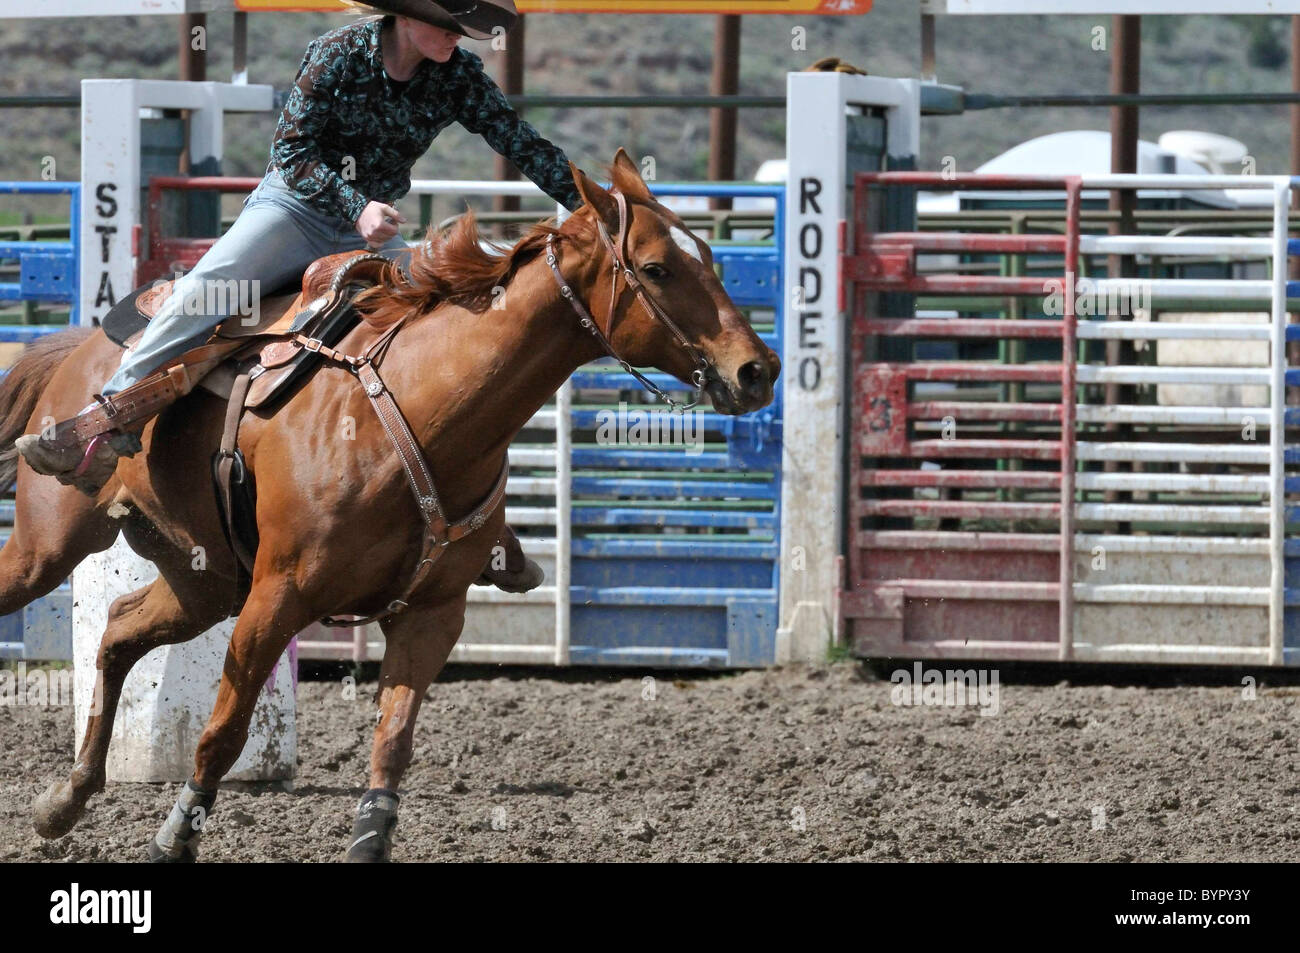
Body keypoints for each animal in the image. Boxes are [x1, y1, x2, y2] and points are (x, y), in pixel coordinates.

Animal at [0, 150, 780, 861]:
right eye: (657, 267)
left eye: (709, 255)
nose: (758, 370)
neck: (422, 406)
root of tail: (84, 347)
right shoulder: (277, 596)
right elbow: (223, 731)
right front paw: (173, 839)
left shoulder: (431, 611)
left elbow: (393, 741)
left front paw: (369, 839)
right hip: (53, 548)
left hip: (205, 579)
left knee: (120, 627)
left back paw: (65, 799)